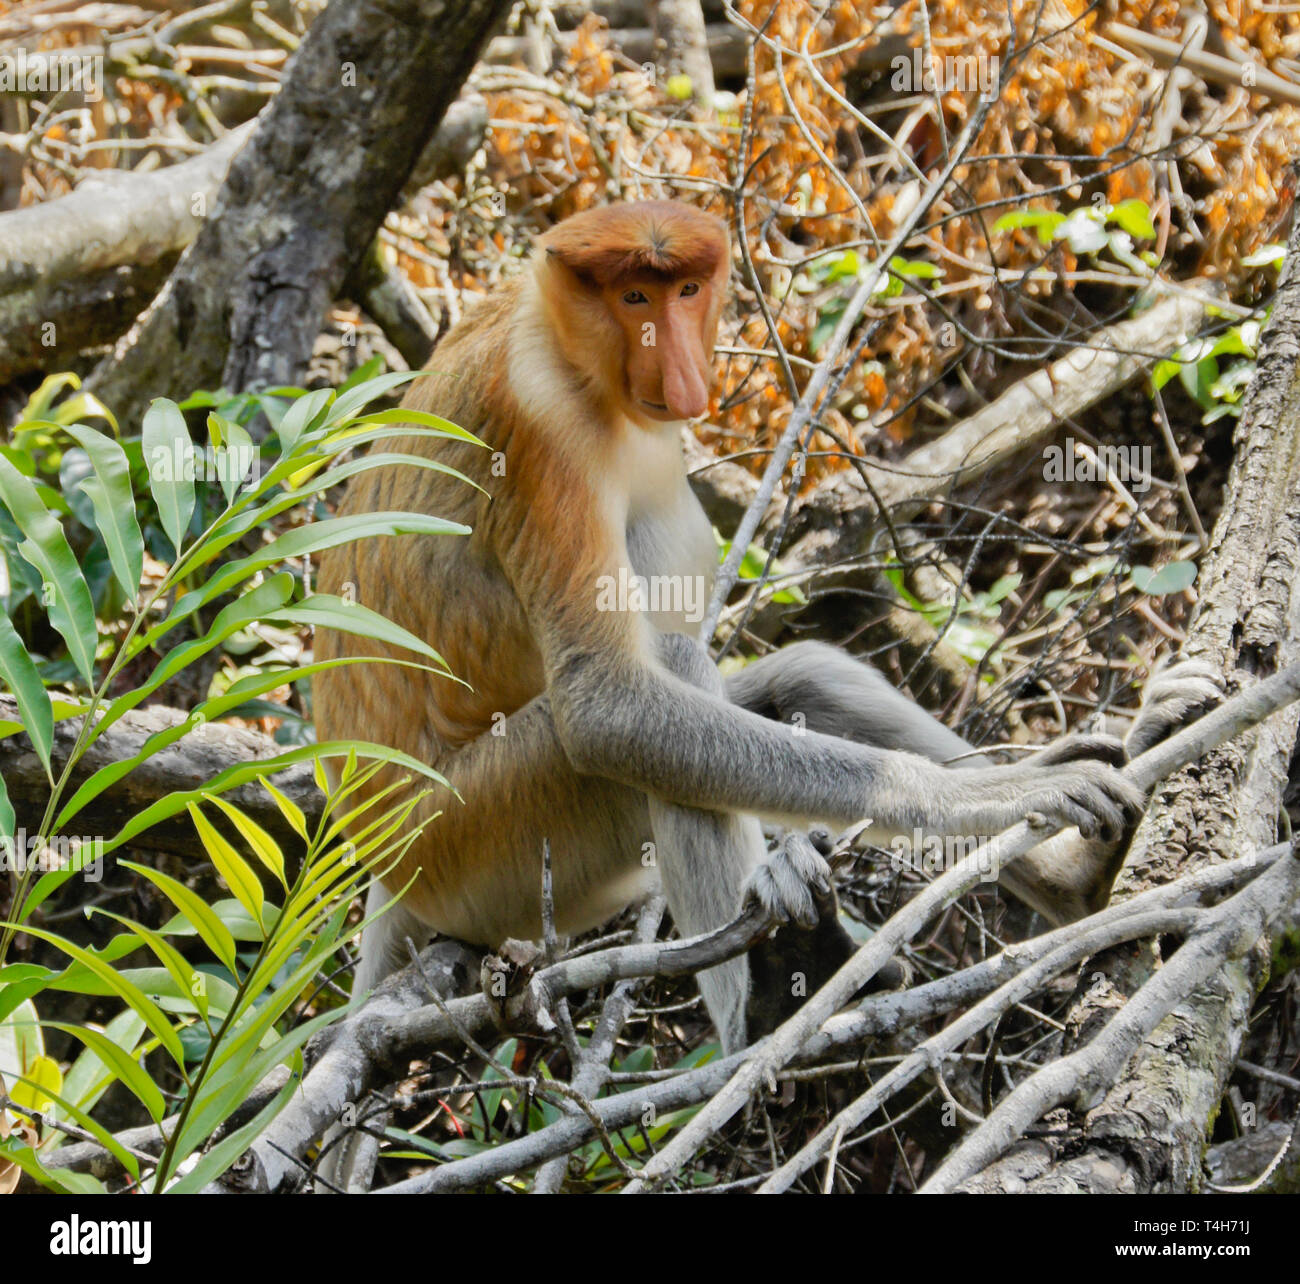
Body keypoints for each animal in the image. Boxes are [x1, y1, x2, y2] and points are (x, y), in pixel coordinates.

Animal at [313, 200, 1205, 1068]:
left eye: (685, 292)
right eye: (632, 297)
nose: (680, 371)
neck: (562, 343)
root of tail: (385, 869)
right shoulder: (540, 426)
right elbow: (606, 711)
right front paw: (990, 796)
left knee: (803, 676)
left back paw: (1086, 866)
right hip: (479, 844)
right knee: (647, 711)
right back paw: (769, 1008)